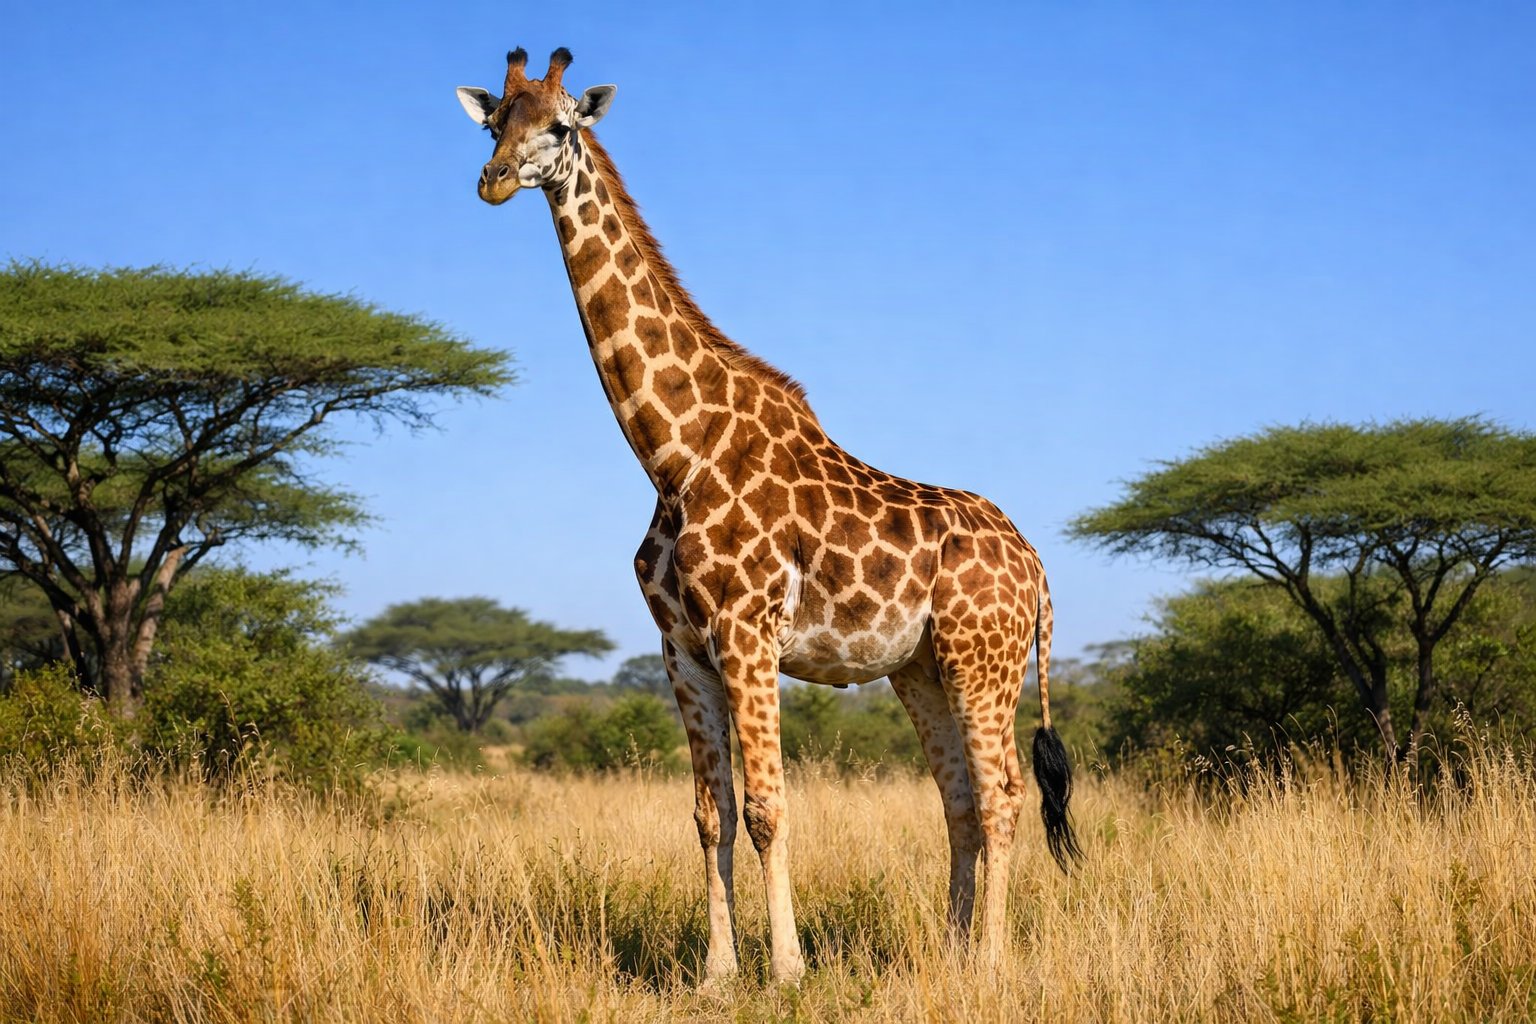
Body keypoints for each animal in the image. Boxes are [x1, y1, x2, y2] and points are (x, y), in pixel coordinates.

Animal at [456, 47, 1080, 984]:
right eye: (495, 122)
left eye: (560, 126)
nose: (492, 181)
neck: (673, 456)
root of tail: (1037, 563)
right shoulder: (681, 649)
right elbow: (709, 816)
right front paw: (718, 973)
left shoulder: (747, 635)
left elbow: (767, 810)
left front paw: (786, 968)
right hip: (923, 670)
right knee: (960, 802)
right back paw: (946, 953)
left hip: (986, 663)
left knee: (1003, 795)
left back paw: (988, 964)